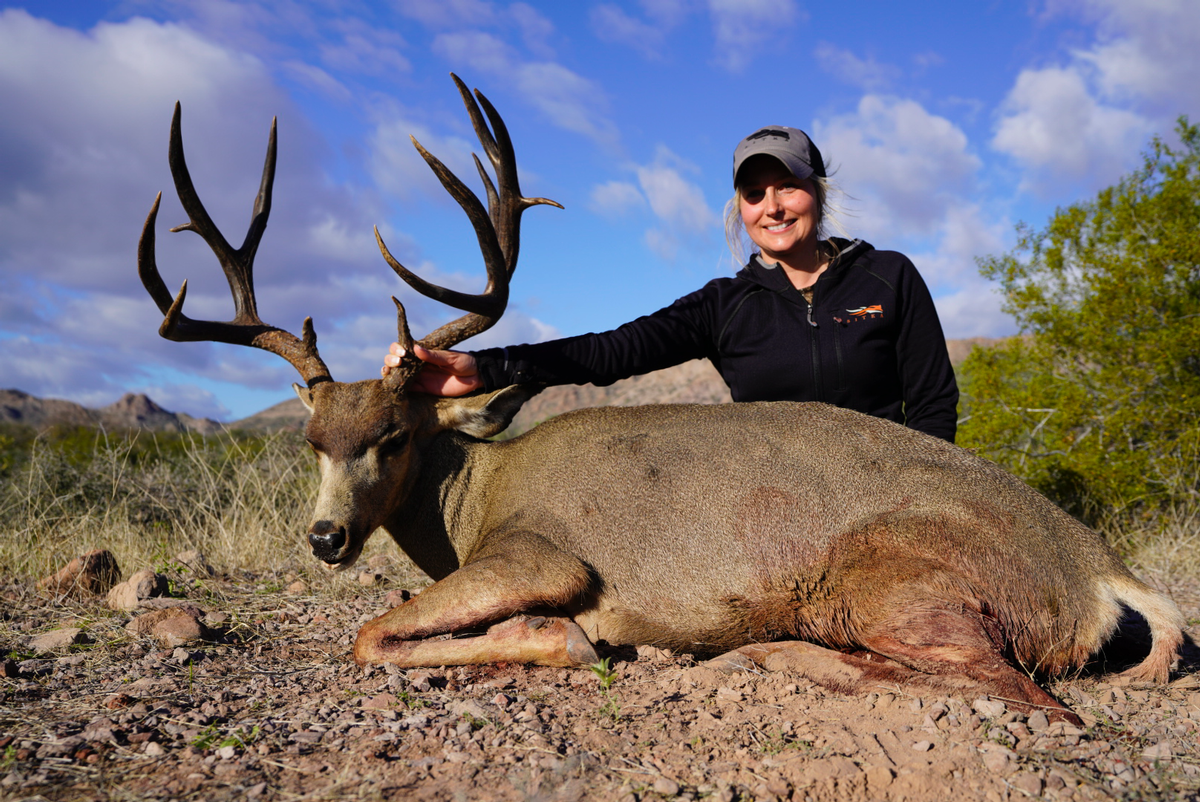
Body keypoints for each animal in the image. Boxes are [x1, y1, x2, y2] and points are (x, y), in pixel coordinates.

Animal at [138, 75, 1185, 725]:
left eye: (393, 436)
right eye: (311, 439)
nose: (325, 538)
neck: (472, 496)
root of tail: (1098, 570)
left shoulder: (540, 553)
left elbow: (374, 632)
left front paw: (560, 638)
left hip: (889, 577)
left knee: (1018, 694)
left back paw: (755, 653)